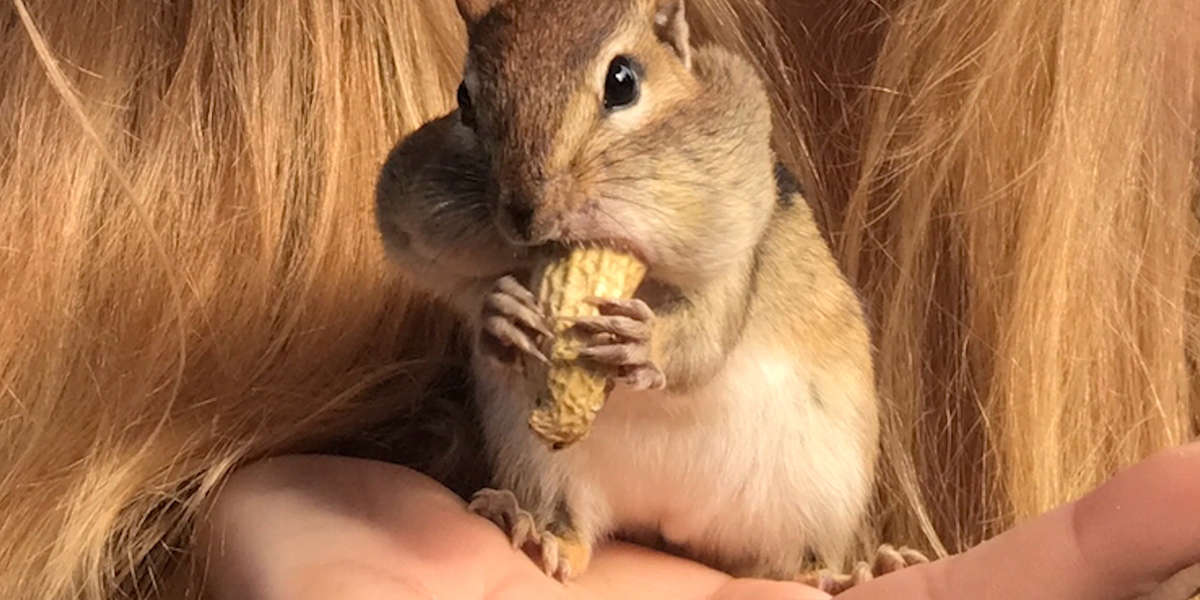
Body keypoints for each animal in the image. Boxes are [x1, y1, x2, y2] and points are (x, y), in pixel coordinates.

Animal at [375, 0, 927, 591]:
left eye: (623, 81)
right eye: (463, 99)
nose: (525, 213)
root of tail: (673, 527)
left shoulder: (736, 245)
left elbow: (705, 338)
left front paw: (644, 343)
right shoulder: (416, 228)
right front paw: (499, 314)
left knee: (789, 565)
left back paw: (860, 571)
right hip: (543, 466)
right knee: (570, 527)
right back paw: (530, 530)